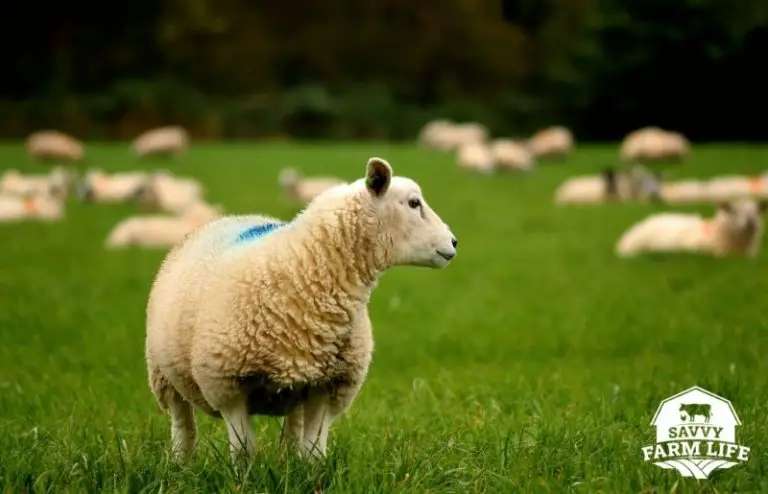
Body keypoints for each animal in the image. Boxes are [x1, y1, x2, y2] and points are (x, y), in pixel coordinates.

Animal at [144, 157, 458, 464]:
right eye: (414, 203)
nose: (454, 242)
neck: (303, 268)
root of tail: (234, 217)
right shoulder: (226, 384)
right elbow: (244, 450)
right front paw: (243, 475)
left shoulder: (329, 384)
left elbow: (314, 451)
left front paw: (308, 471)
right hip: (162, 373)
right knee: (182, 424)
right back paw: (181, 465)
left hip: (296, 387)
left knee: (293, 428)